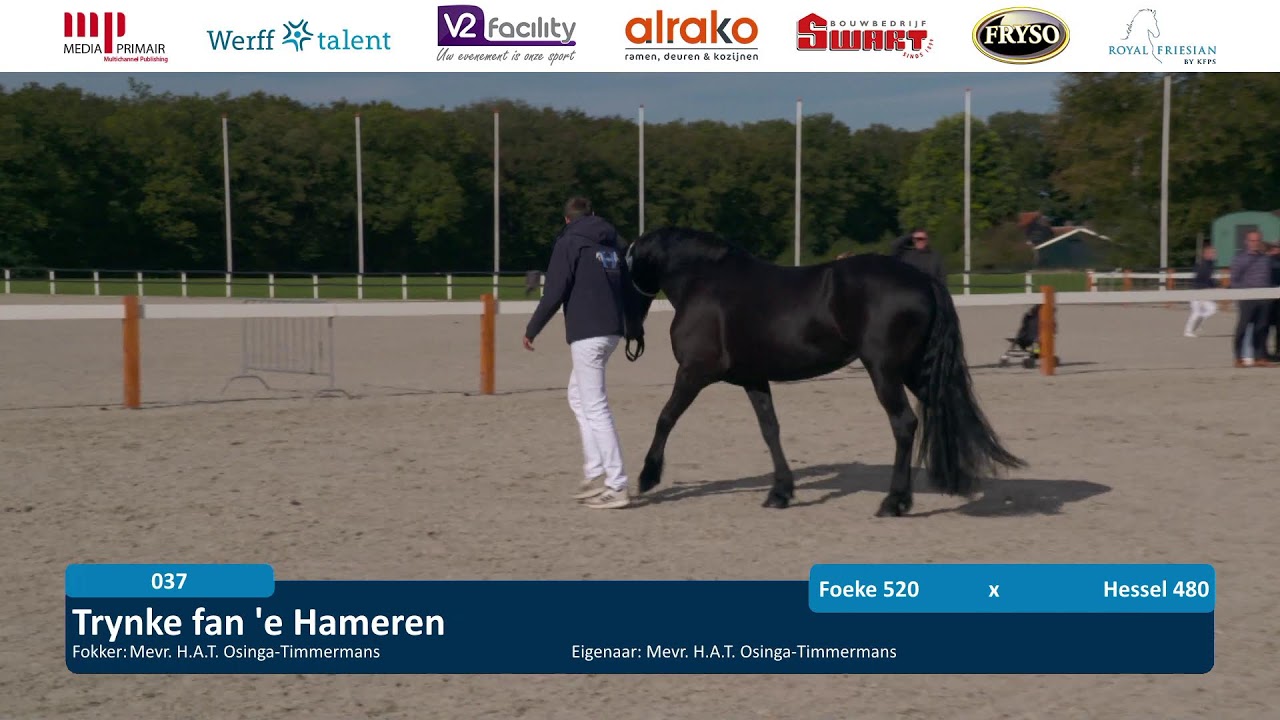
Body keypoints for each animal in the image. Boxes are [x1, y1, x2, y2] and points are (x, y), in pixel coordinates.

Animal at [619, 226, 1025, 516]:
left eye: (624, 271)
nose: (631, 332)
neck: (704, 280)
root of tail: (924, 280)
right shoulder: (754, 378)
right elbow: (770, 430)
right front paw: (781, 492)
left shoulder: (694, 372)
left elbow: (666, 417)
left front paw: (648, 476)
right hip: (914, 370)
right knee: (944, 410)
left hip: (884, 370)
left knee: (904, 423)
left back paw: (894, 501)